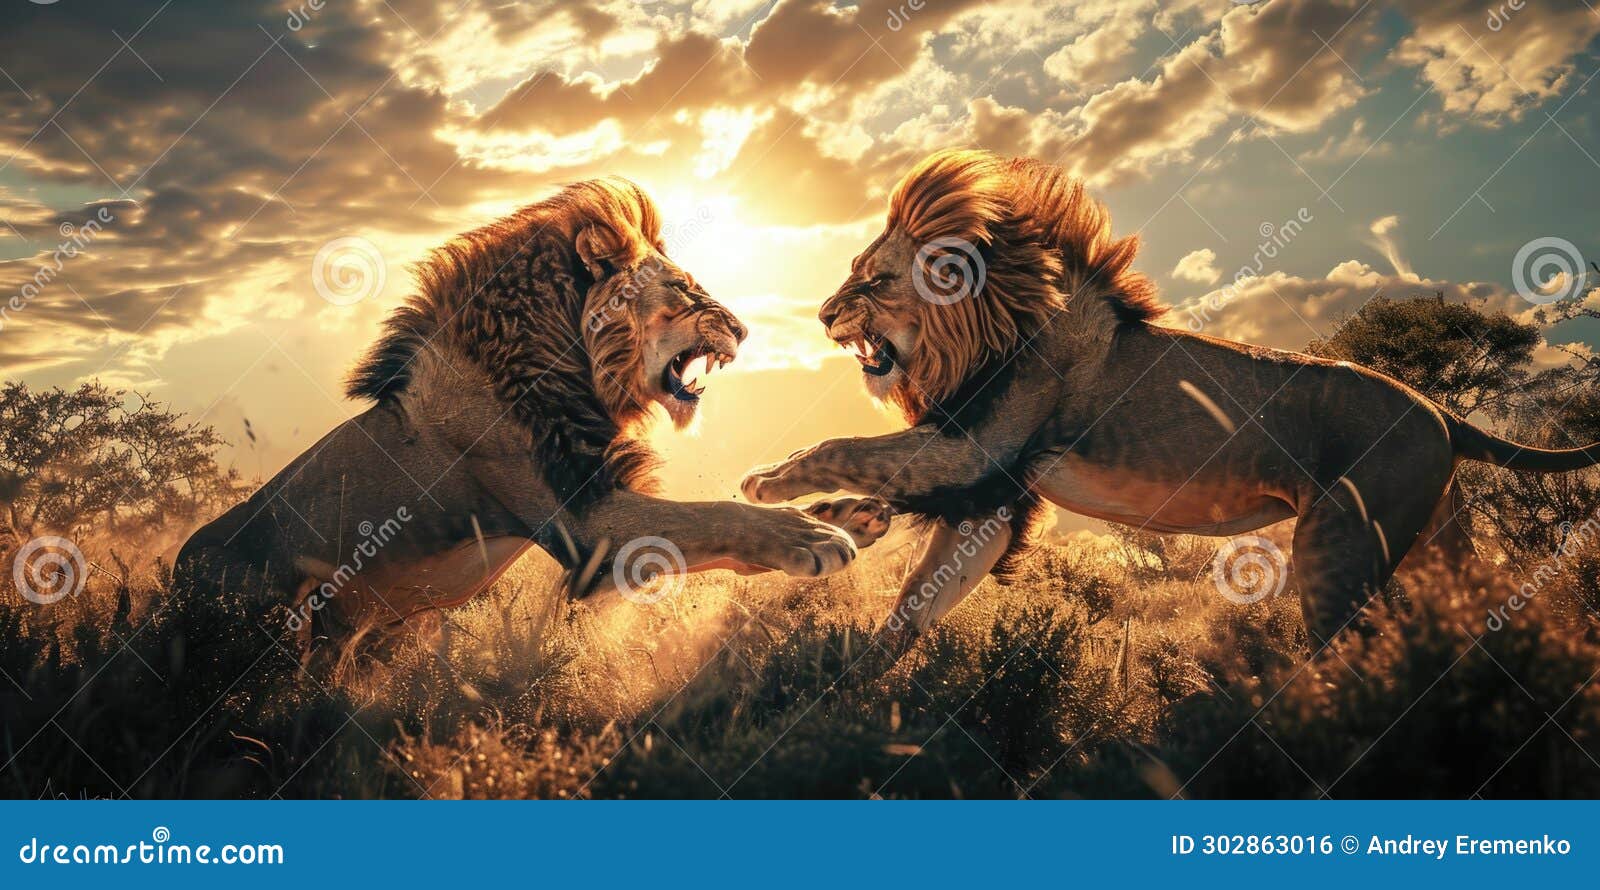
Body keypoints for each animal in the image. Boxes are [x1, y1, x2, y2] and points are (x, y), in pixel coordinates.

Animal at [173, 177, 890, 658]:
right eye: (686, 291)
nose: (742, 328)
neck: (570, 362)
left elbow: (719, 528)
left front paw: (849, 513)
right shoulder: (588, 526)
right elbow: (713, 515)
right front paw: (813, 537)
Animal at [741, 149, 1600, 649]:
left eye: (873, 280)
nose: (821, 314)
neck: (989, 326)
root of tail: (1438, 411)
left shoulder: (975, 448)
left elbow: (844, 447)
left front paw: (769, 482)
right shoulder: (993, 498)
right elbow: (912, 605)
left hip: (1338, 547)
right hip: (1436, 546)